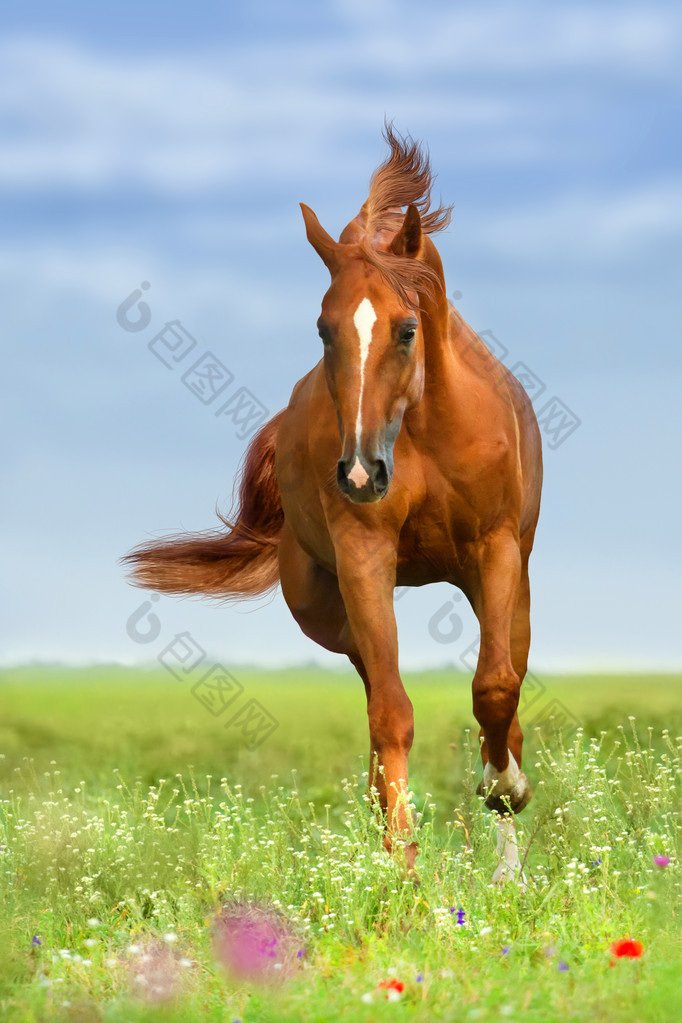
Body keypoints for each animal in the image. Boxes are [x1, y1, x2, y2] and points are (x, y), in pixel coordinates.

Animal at [123, 125, 543, 882]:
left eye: (407, 328)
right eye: (324, 330)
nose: (358, 472)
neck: (425, 428)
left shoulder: (495, 550)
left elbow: (495, 689)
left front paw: (505, 801)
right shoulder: (364, 555)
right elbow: (393, 714)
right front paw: (406, 872)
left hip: (504, 582)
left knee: (506, 691)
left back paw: (506, 851)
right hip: (329, 610)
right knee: (378, 699)